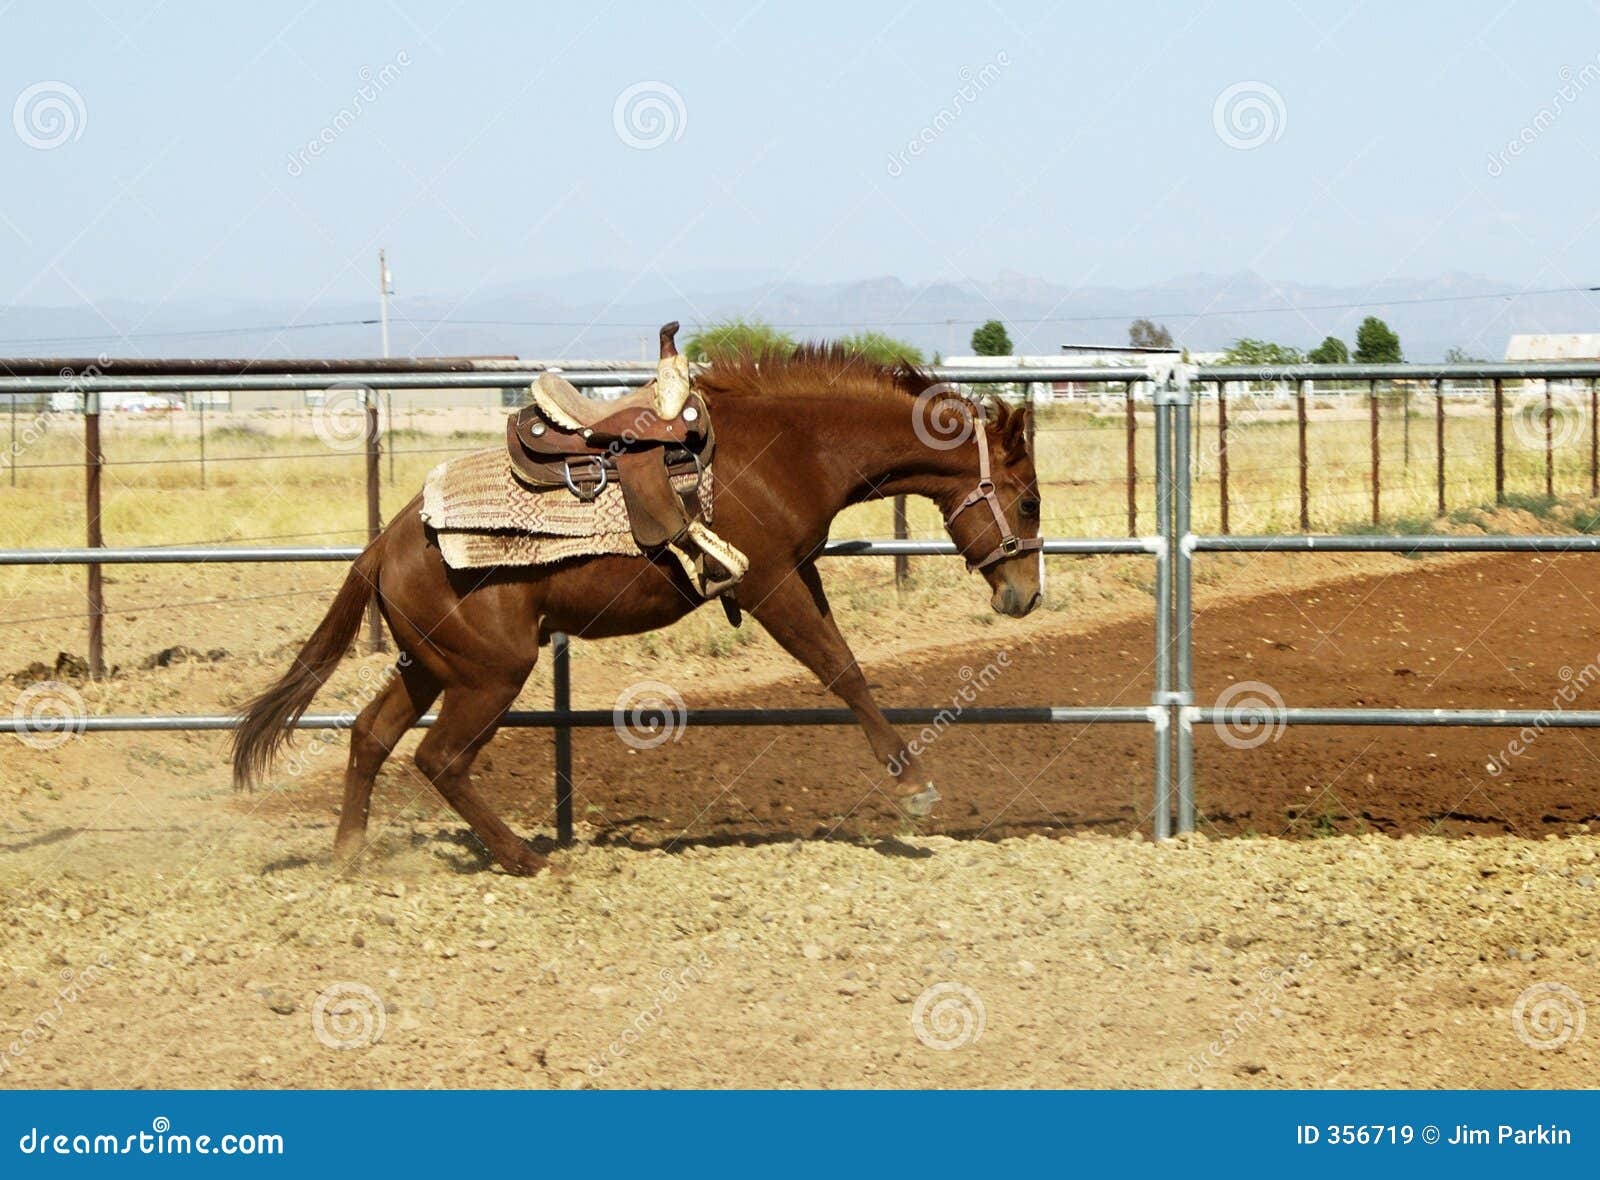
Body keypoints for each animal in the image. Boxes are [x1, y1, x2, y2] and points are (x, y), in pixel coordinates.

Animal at [231, 345, 1043, 875]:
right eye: (1030, 500)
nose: (1025, 595)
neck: (792, 446)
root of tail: (384, 544)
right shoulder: (769, 583)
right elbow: (840, 669)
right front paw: (913, 789)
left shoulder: (798, 573)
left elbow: (844, 665)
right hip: (491, 673)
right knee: (441, 758)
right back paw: (527, 859)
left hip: (431, 665)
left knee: (371, 736)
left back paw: (349, 857)